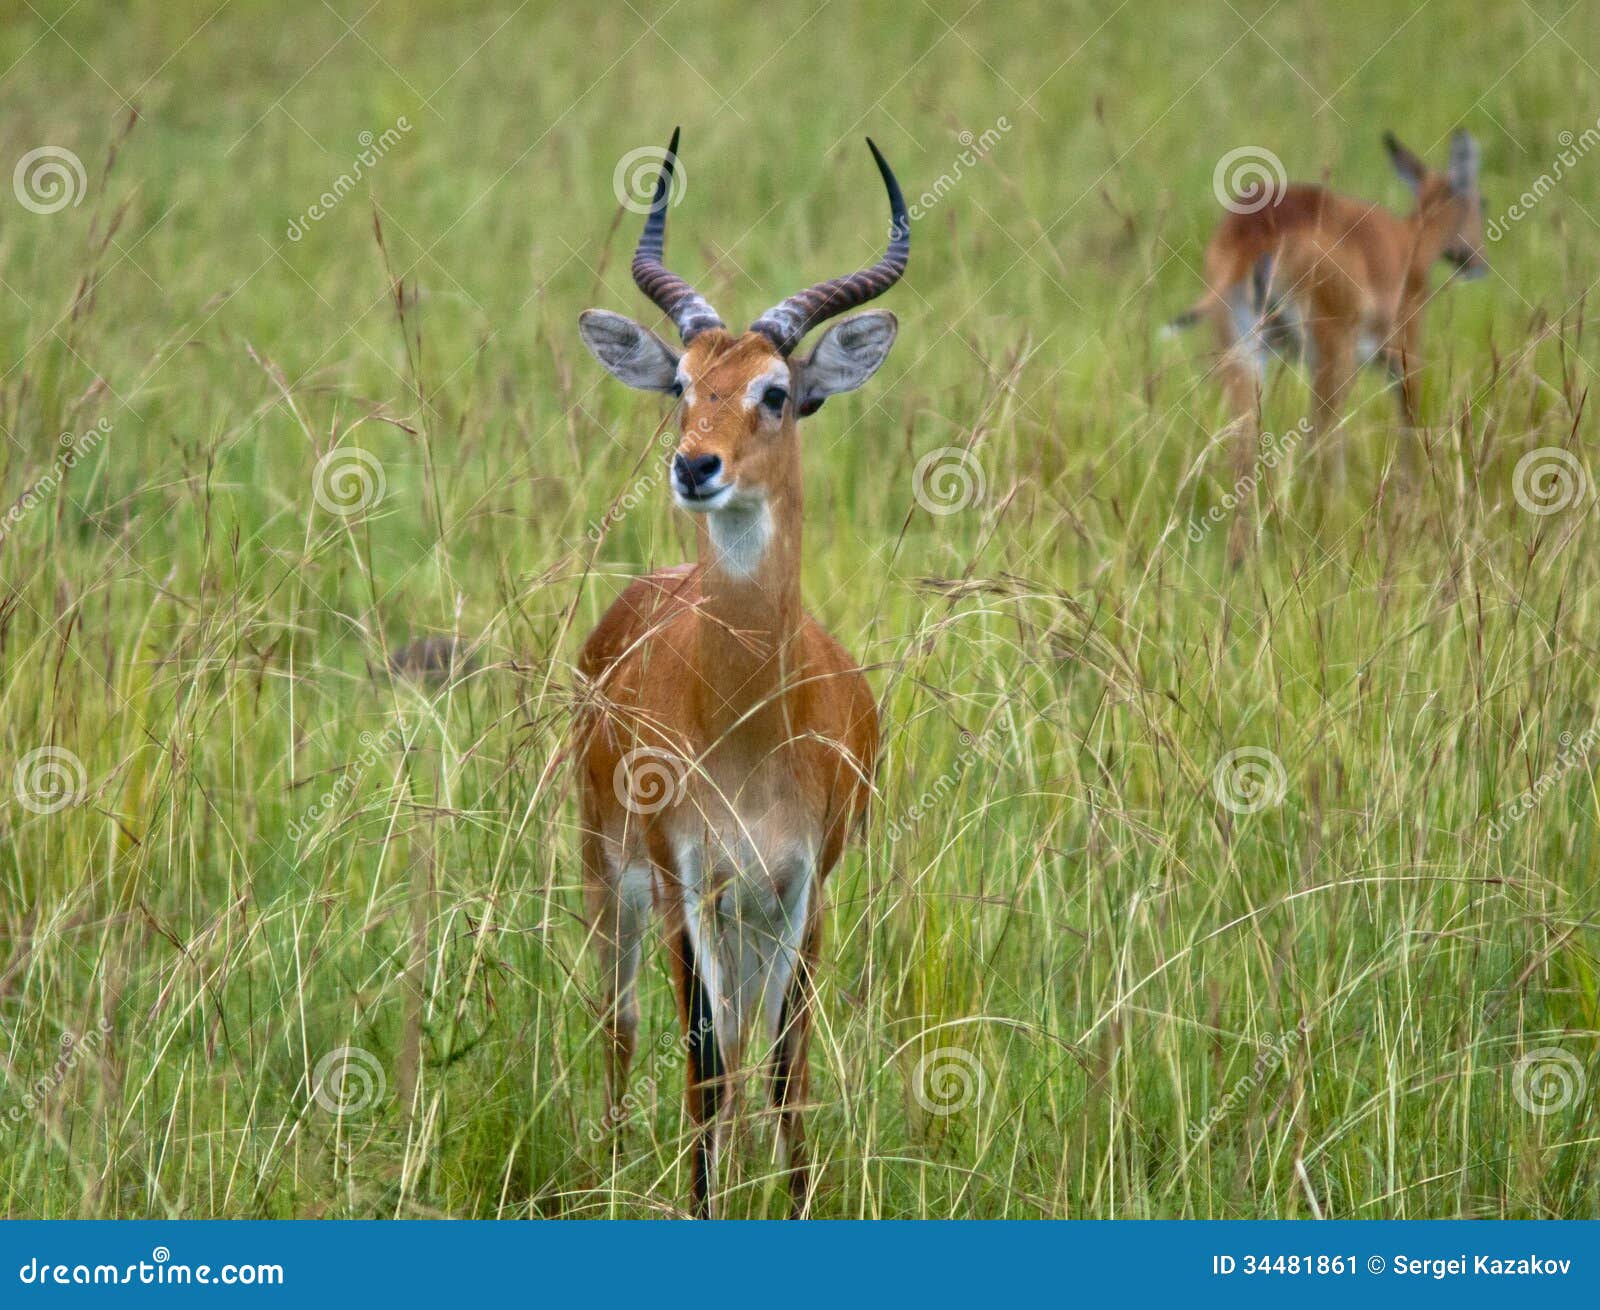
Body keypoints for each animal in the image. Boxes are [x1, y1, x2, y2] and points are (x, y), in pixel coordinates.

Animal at [572, 129, 905, 1217]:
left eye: (775, 390)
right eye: (682, 381)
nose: (695, 467)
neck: (754, 716)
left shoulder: (805, 882)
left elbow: (785, 1065)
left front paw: (792, 1195)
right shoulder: (688, 875)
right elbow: (705, 1064)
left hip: (750, 915)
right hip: (616, 875)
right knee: (624, 1023)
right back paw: (610, 1157)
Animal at [1172, 130, 1485, 458]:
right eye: (1484, 203)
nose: (1479, 263)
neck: (1410, 243)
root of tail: (1254, 232)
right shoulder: (1405, 355)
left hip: (1245, 353)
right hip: (1333, 356)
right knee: (1320, 441)